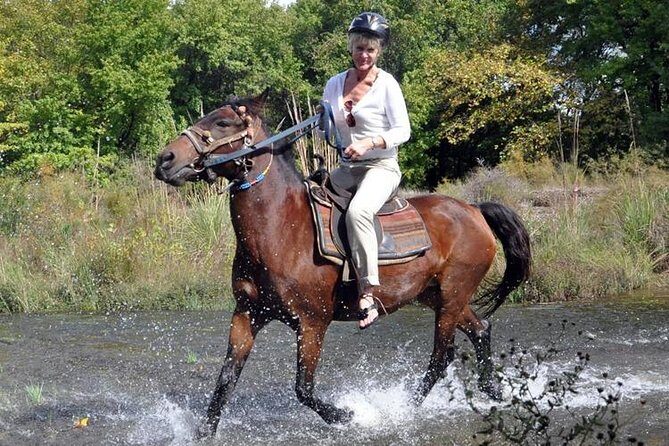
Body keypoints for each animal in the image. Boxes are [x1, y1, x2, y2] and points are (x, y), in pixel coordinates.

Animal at [154, 92, 531, 436]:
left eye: (222, 122)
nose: (165, 159)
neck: (282, 229)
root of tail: (475, 210)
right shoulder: (247, 314)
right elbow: (226, 379)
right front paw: (204, 432)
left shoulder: (312, 323)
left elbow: (303, 388)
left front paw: (347, 416)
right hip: (438, 295)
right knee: (480, 329)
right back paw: (493, 392)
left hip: (453, 295)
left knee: (441, 356)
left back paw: (401, 410)